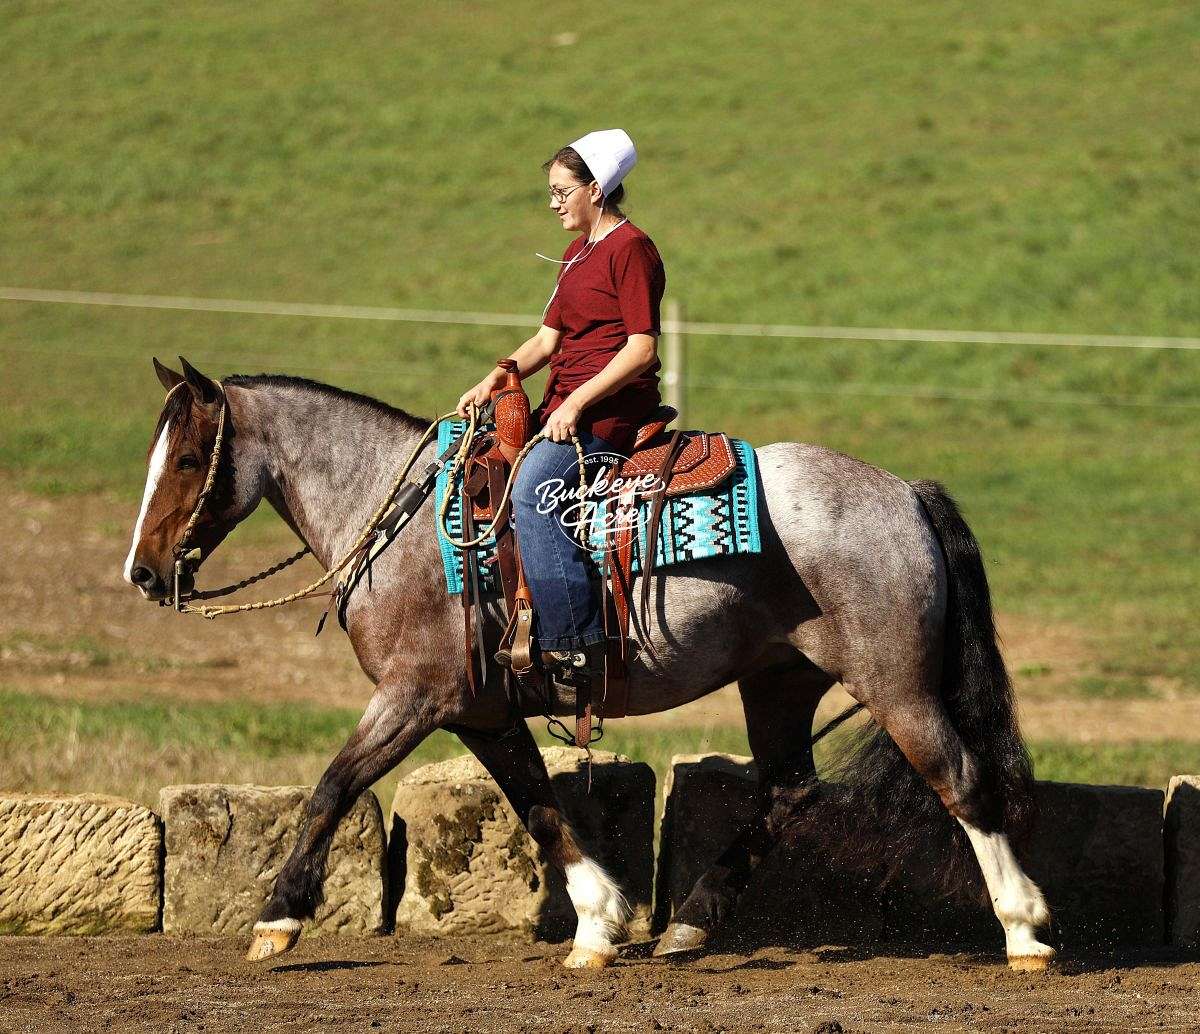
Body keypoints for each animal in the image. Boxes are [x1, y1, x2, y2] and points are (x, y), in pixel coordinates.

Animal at [123, 357, 1055, 972]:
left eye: (186, 458)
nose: (143, 572)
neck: (405, 522)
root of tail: (904, 493)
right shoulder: (482, 711)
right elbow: (539, 808)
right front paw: (600, 924)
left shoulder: (413, 697)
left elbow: (332, 787)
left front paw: (277, 918)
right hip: (781, 679)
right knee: (791, 789)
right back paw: (690, 922)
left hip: (895, 685)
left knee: (961, 781)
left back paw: (1025, 929)